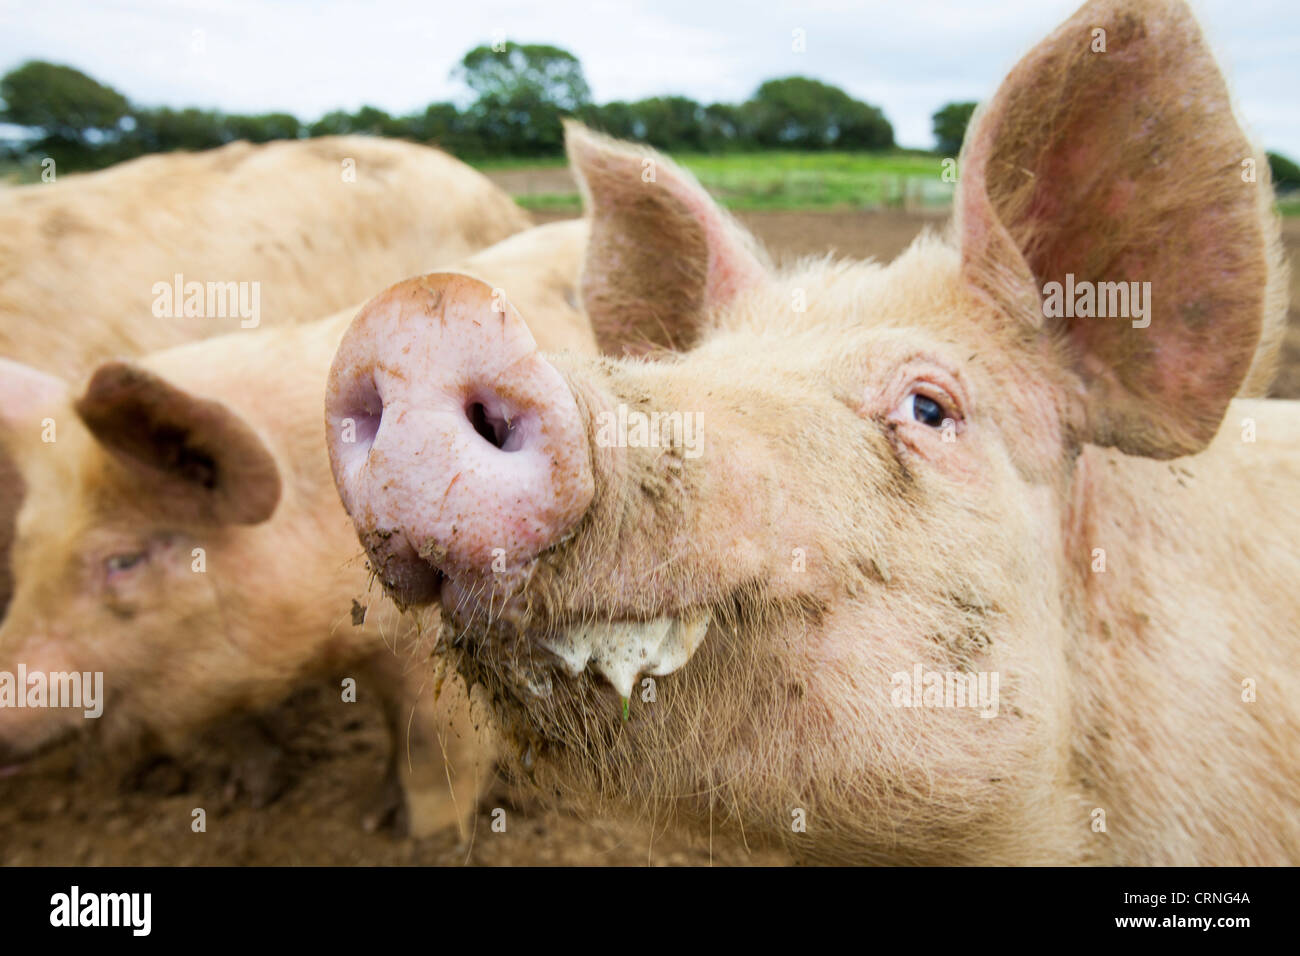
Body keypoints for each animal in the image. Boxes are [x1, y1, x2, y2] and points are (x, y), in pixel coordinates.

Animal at [0, 220, 594, 839]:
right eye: (23, 548)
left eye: (122, 560)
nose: (1, 710)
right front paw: (252, 798)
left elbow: (434, 747)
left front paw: (410, 833)